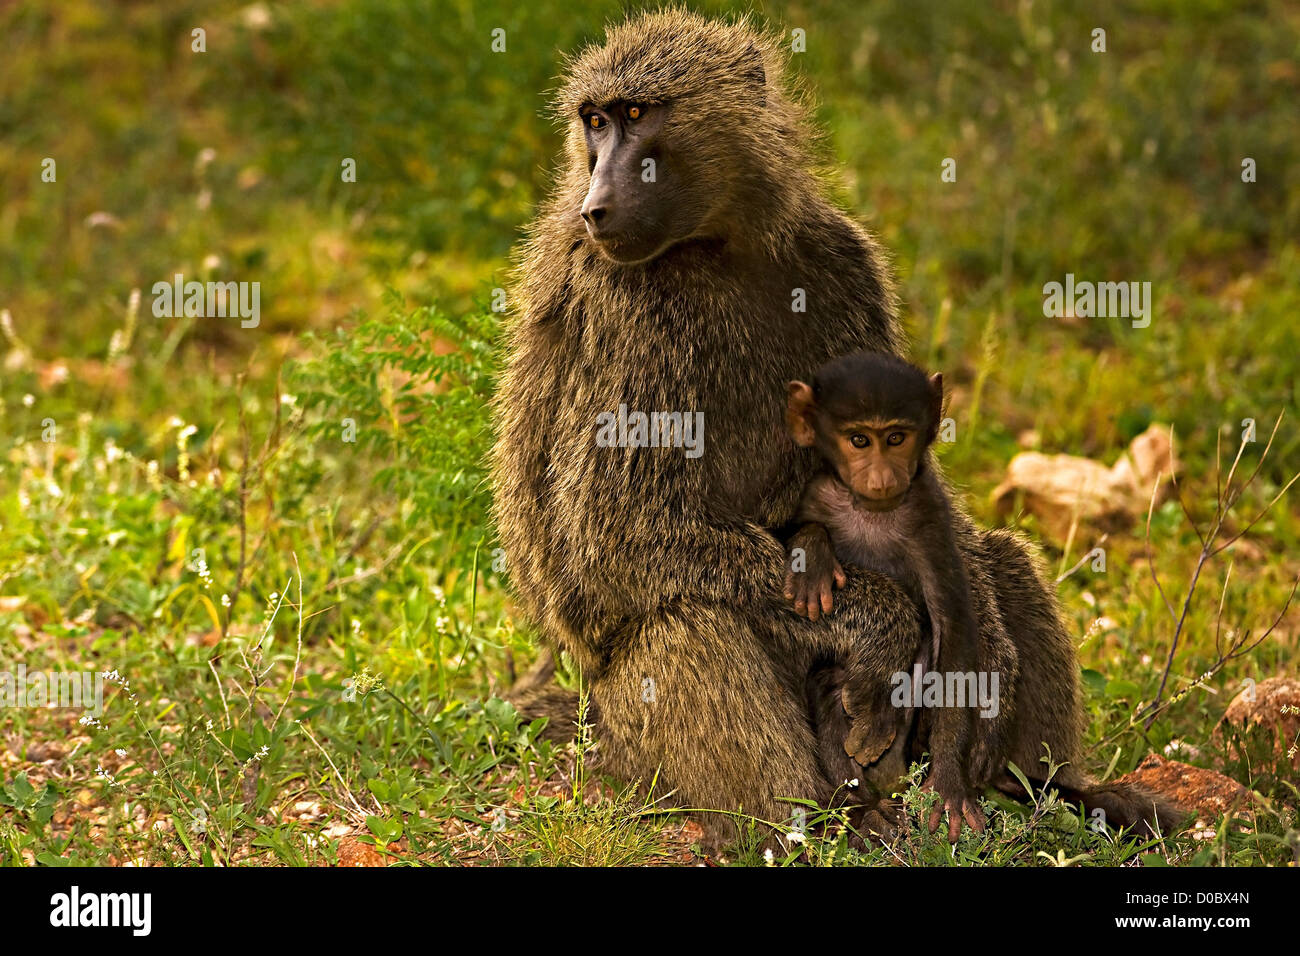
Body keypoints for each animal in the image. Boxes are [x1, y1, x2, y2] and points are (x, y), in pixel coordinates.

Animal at [783, 352, 984, 841]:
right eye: (859, 440)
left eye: (895, 438)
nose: (881, 477)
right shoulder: (817, 493)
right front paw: (812, 553)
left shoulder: (929, 515)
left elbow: (953, 631)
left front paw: (949, 784)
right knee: (826, 685)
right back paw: (863, 804)